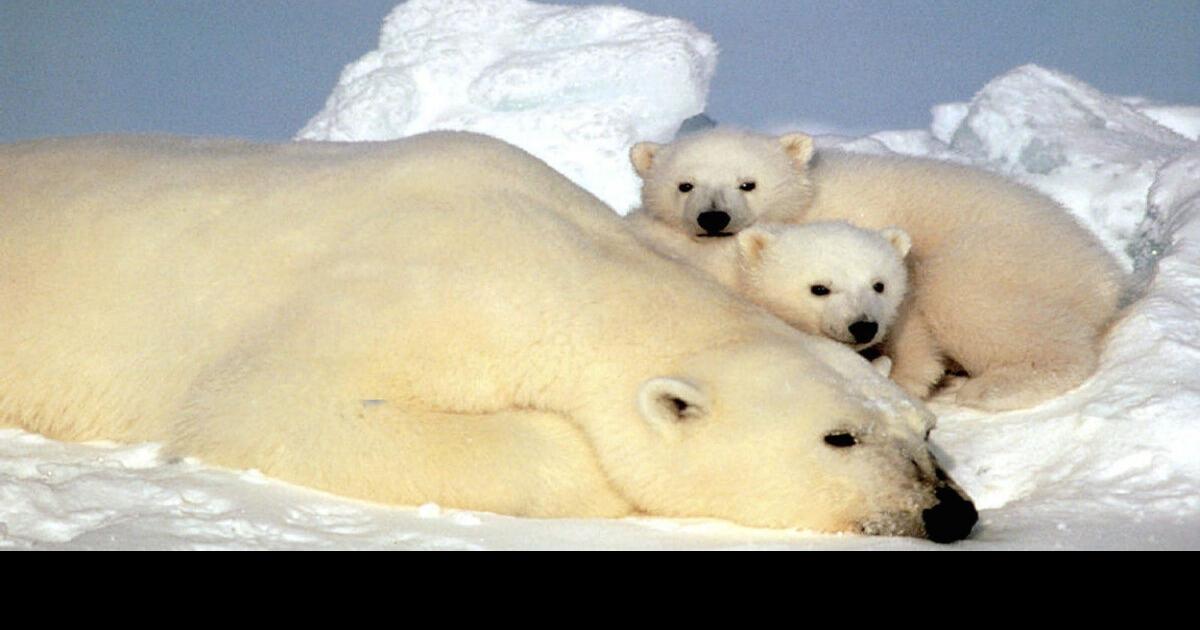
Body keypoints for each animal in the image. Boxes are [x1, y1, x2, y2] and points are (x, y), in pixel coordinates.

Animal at [628, 128, 1125, 411]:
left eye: (747, 183)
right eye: (684, 185)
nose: (713, 218)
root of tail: (1104, 273)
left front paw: (904, 377)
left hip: (1006, 255)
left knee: (974, 301)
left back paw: (995, 387)